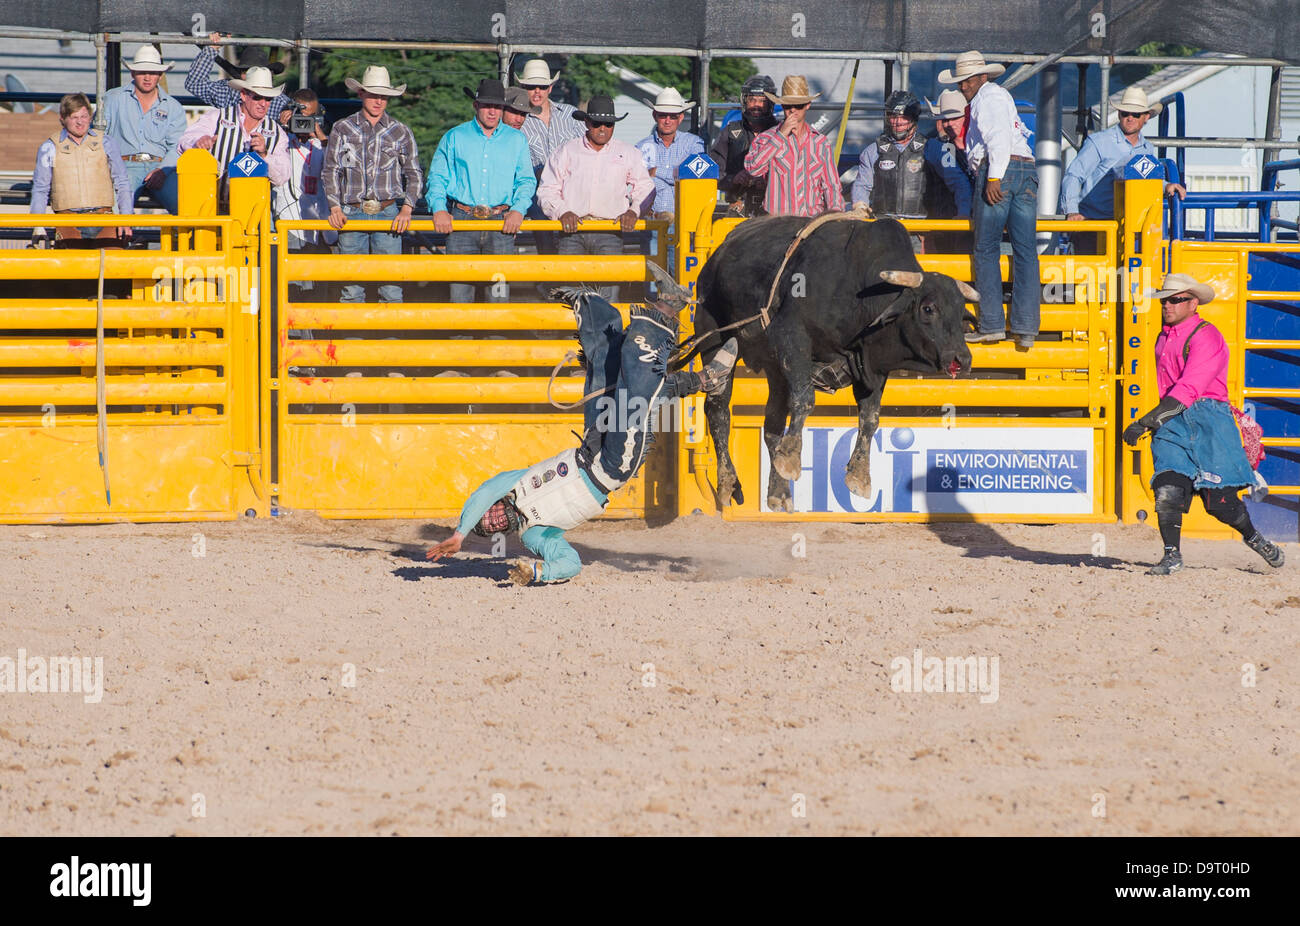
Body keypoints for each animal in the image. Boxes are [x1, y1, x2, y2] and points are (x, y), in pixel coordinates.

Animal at [683, 214, 977, 511]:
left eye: (961, 312)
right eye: (928, 308)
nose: (962, 359)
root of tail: (717, 254)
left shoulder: (871, 368)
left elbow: (870, 418)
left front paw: (859, 476)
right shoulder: (791, 336)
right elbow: (805, 400)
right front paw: (791, 459)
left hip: (775, 368)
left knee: (773, 423)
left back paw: (779, 492)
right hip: (714, 338)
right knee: (718, 410)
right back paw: (728, 483)